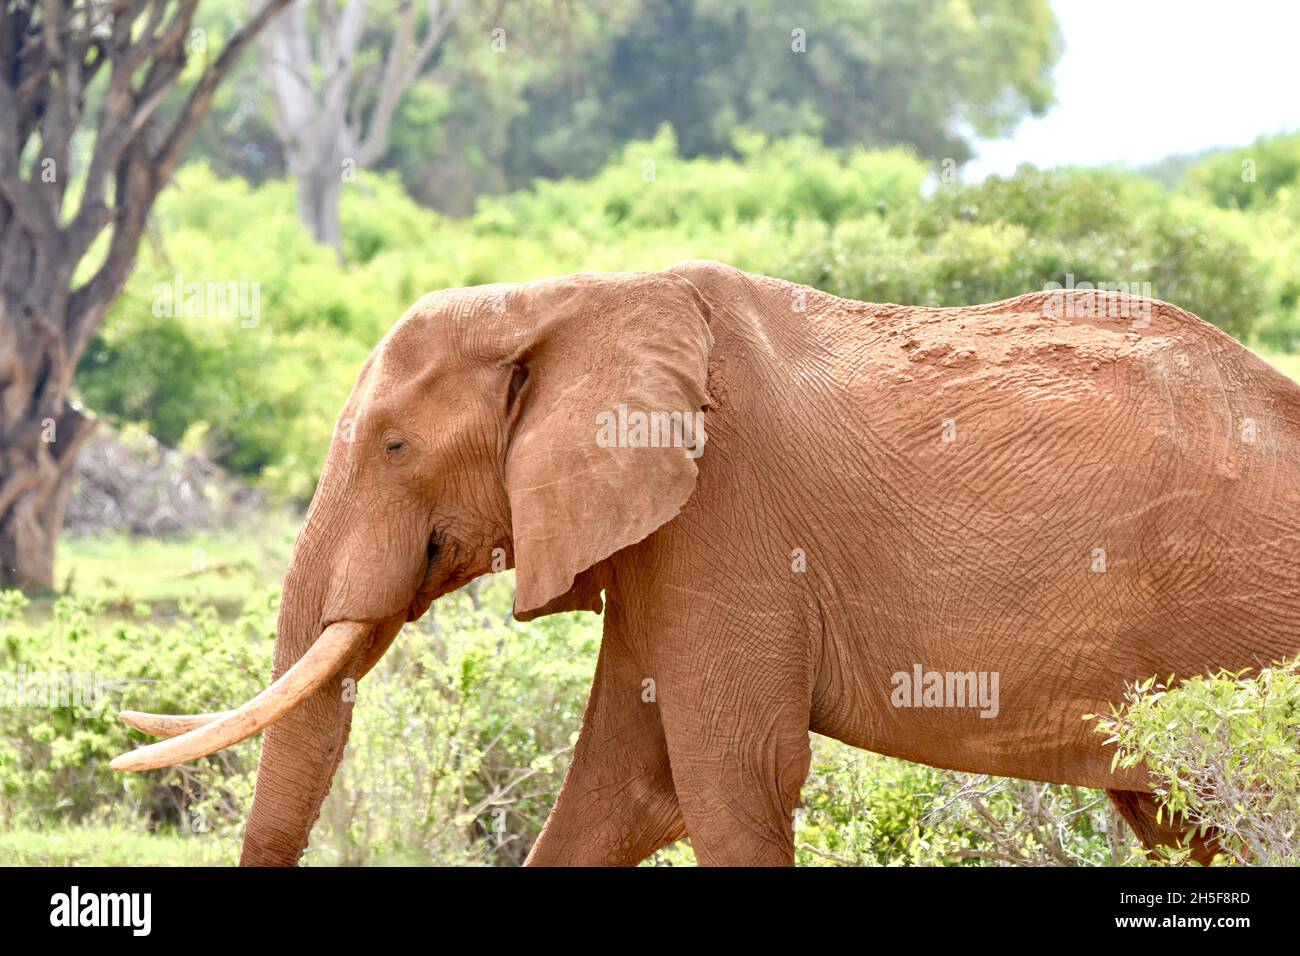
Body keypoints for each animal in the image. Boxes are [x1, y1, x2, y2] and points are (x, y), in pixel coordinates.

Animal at [111, 260, 1300, 866]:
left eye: (393, 446)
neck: (568, 294)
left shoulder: (727, 519)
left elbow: (732, 776)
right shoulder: (661, 541)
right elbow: (625, 790)